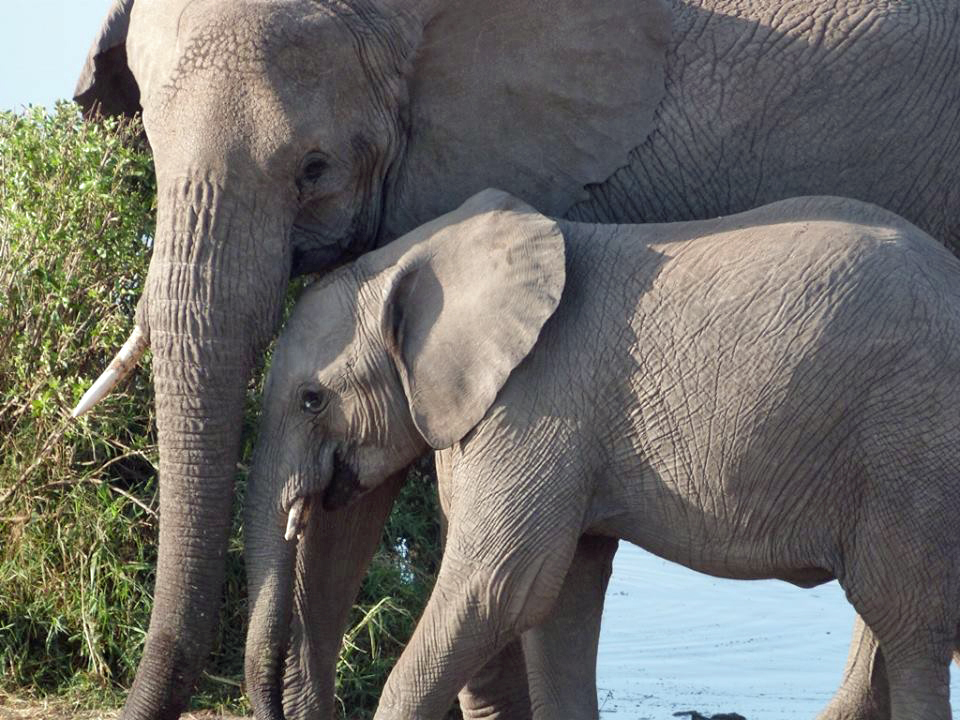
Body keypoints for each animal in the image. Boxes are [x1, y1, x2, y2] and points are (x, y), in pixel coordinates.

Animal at [247, 188, 960, 720]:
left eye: (311, 400)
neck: (420, 253)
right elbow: (560, 596)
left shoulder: (537, 404)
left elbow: (500, 586)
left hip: (909, 440)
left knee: (905, 621)